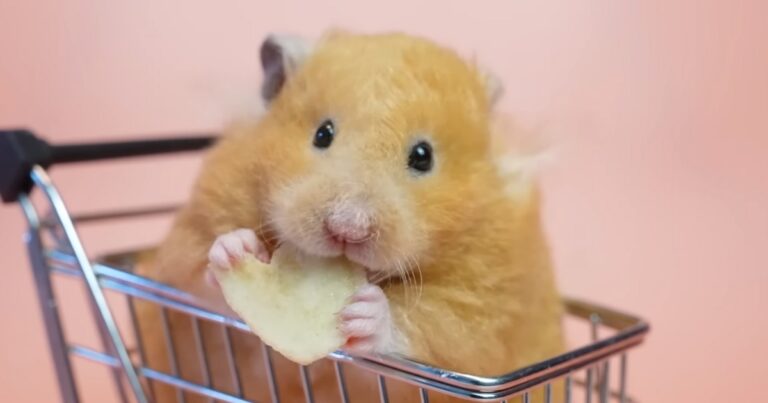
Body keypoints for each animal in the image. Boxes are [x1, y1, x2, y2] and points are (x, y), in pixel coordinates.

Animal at [135, 30, 564, 403]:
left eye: (423, 156)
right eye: (322, 134)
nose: (347, 230)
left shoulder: (483, 307)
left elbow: (438, 329)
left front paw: (363, 312)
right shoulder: (195, 230)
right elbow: (191, 274)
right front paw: (235, 248)